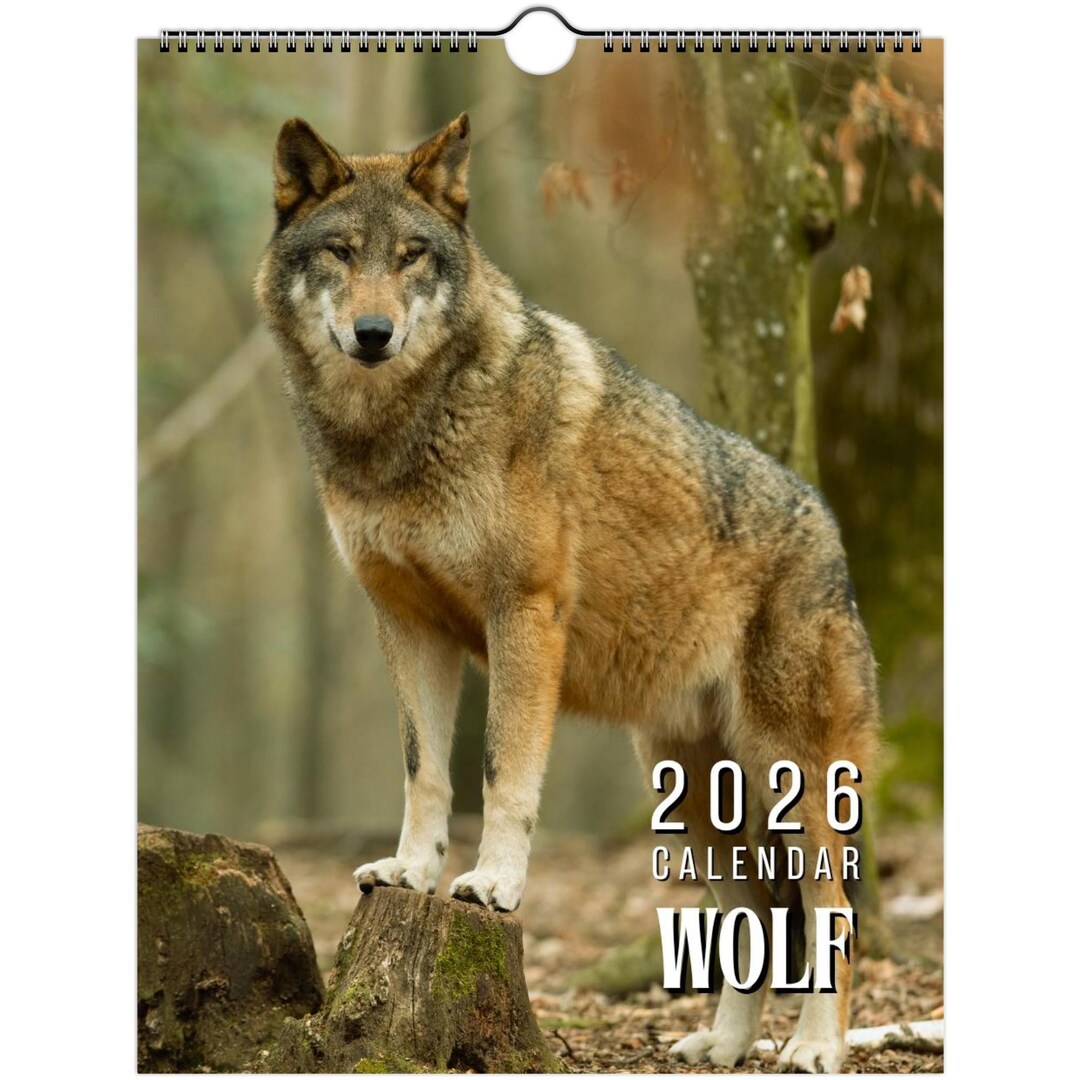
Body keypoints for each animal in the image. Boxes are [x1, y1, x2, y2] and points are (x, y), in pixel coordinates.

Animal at [255, 114, 879, 1074]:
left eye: (410, 256)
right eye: (341, 252)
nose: (373, 332)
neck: (398, 434)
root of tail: (829, 526)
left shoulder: (523, 613)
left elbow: (502, 770)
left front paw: (492, 884)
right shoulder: (406, 624)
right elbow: (426, 773)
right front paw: (410, 872)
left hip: (787, 774)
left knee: (829, 910)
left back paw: (814, 1048)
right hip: (689, 791)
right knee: (753, 912)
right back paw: (724, 1045)